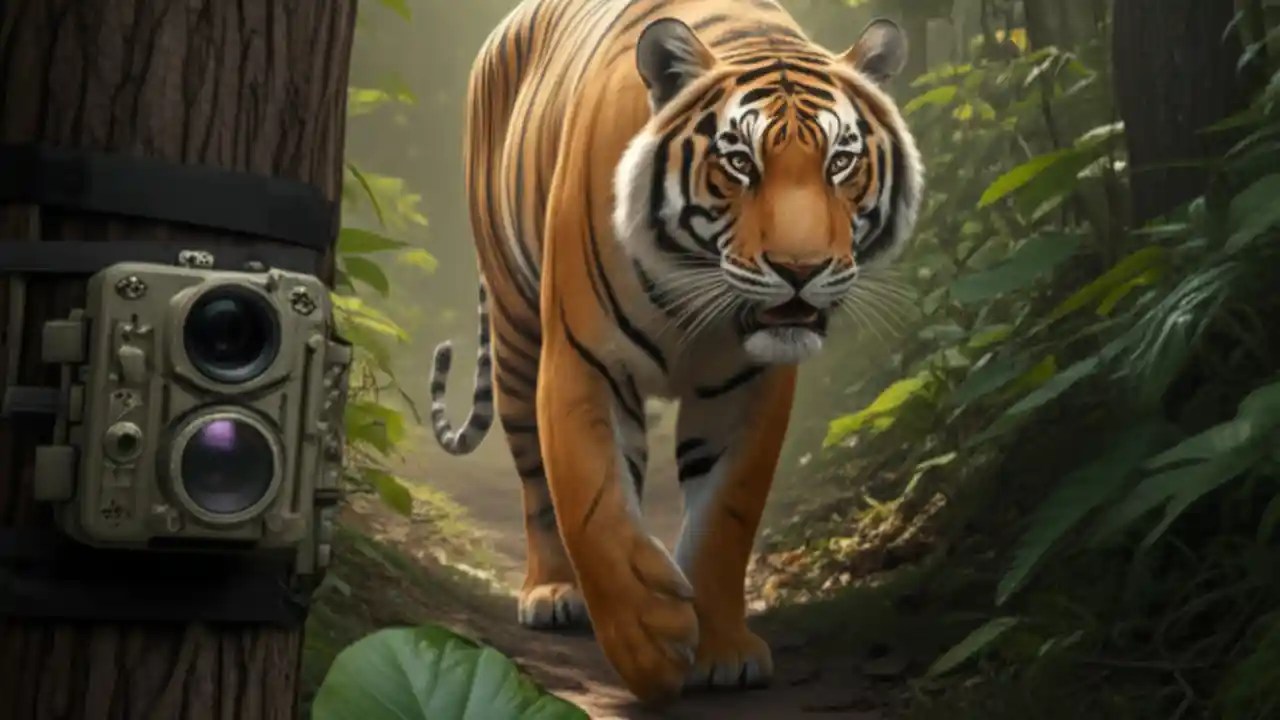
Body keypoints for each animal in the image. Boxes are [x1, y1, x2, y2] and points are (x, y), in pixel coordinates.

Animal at [428, 0, 923, 704]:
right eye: (739, 162)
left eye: (840, 162)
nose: (800, 270)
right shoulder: (584, 362)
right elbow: (592, 504)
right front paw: (649, 645)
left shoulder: (748, 385)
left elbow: (724, 519)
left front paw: (721, 649)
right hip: (516, 330)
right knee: (537, 482)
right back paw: (553, 591)